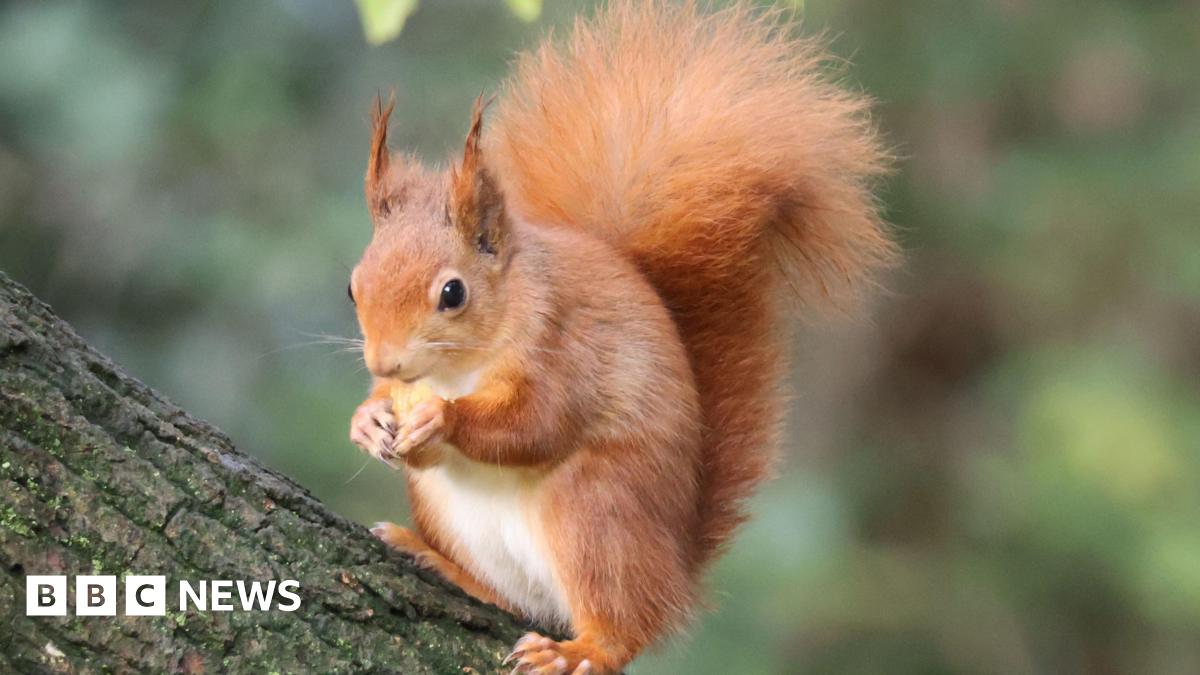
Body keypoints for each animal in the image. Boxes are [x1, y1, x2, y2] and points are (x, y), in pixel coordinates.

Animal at [346, 2, 894, 673]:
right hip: (451, 512)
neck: (458, 368)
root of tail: (675, 571)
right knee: (512, 598)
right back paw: (433, 559)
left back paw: (579, 651)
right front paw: (369, 420)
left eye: (453, 293)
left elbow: (538, 423)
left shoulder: (564, 346)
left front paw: (441, 420)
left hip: (596, 514)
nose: (386, 363)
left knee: (622, 627)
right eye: (353, 288)